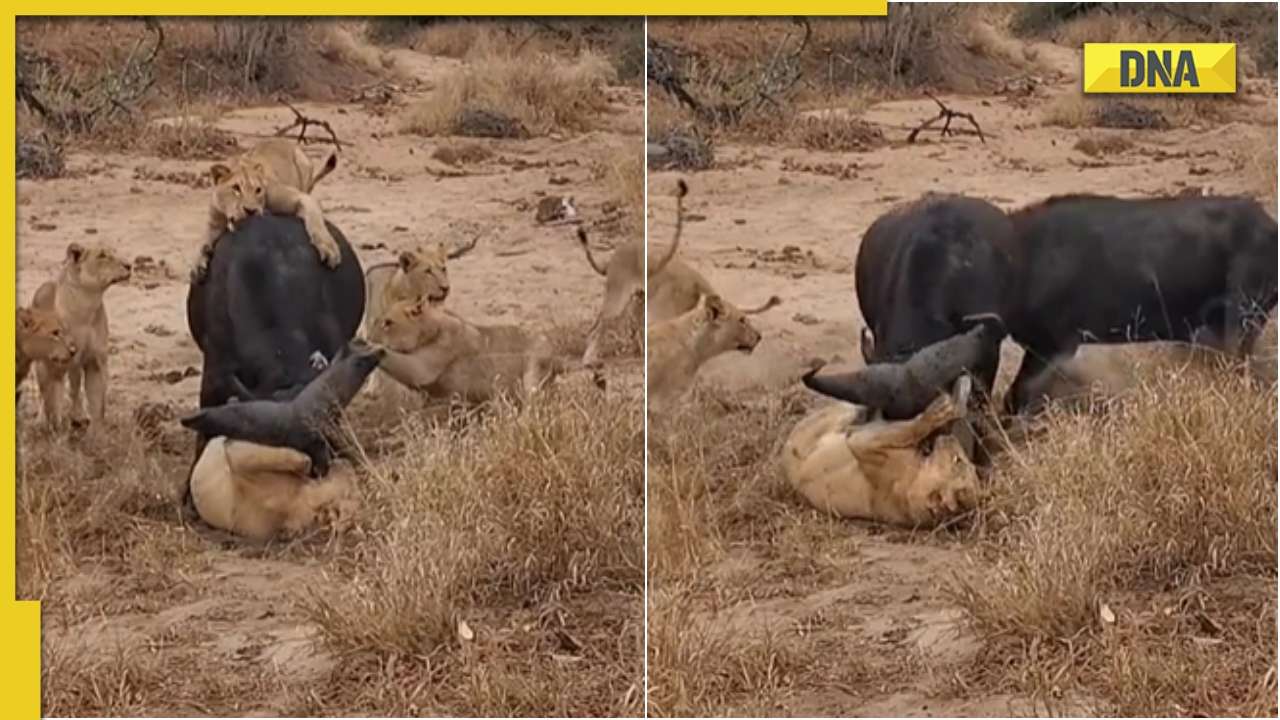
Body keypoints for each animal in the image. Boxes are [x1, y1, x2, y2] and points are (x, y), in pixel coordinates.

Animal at [32, 242, 132, 427]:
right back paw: (42, 420)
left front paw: (95, 430)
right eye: (102, 255)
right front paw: (55, 428)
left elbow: (97, 405)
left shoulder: (95, 362)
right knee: (46, 392)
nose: (129, 265)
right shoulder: (56, 364)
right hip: (43, 364)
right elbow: (55, 402)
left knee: (73, 387)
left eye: (114, 252)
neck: (86, 307)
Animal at [193, 138, 340, 282]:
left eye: (258, 190)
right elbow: (204, 238)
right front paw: (197, 265)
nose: (250, 211)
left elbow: (316, 222)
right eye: (236, 188)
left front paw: (329, 249)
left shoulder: (300, 197)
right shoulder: (215, 221)